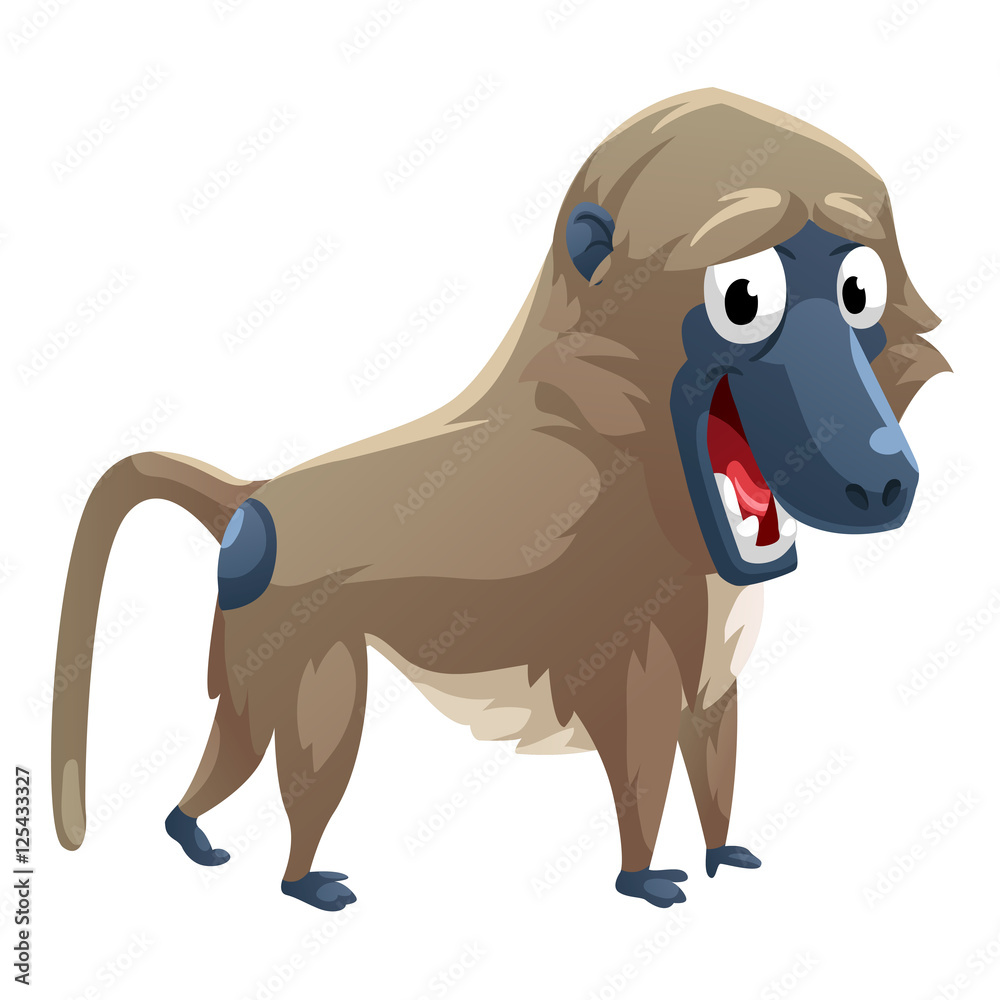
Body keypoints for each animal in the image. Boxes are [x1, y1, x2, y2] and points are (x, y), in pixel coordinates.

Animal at [51, 88, 949, 912]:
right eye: (744, 300)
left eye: (857, 294)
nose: (884, 481)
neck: (643, 457)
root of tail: (259, 496)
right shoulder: (618, 617)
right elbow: (643, 739)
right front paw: (641, 874)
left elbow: (711, 725)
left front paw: (723, 850)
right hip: (288, 622)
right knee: (305, 733)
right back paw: (300, 878)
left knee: (238, 734)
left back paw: (188, 826)